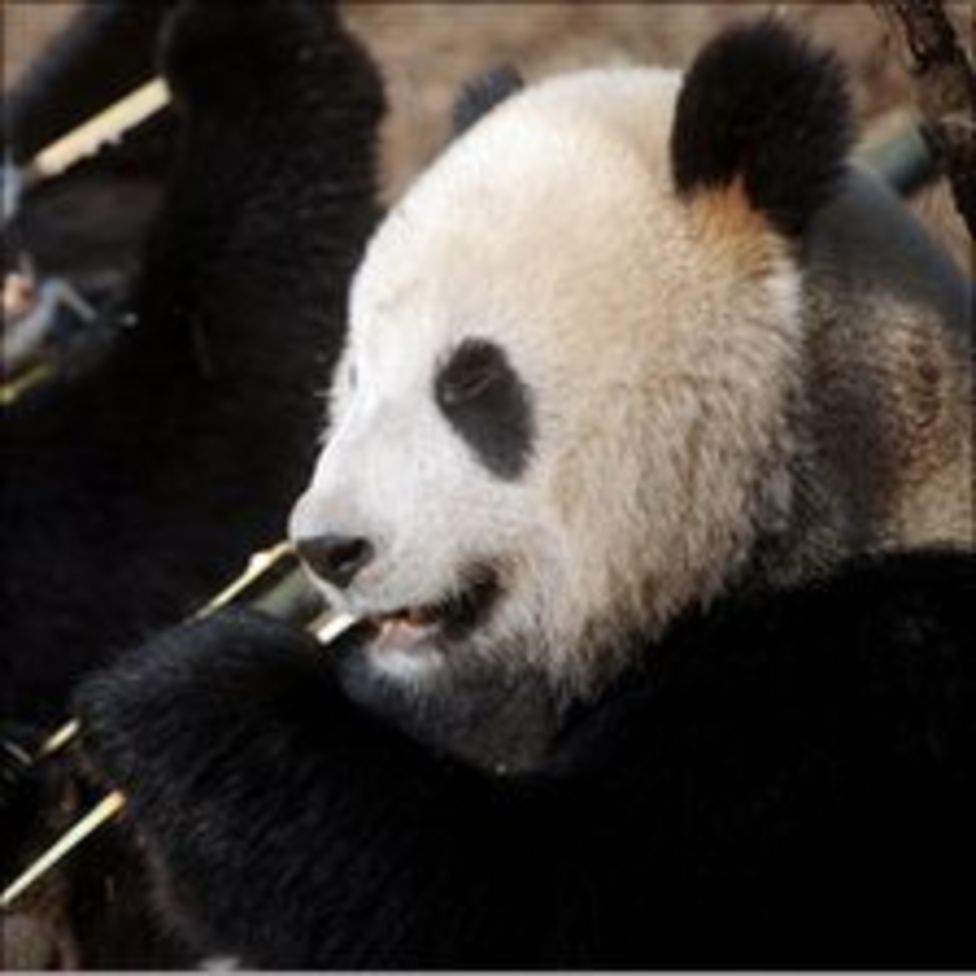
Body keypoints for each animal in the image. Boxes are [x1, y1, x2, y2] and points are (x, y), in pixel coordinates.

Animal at [73, 8, 974, 972]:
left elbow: (540, 906)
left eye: (470, 383)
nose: (330, 548)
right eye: (354, 376)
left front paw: (182, 691)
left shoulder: (846, 711)